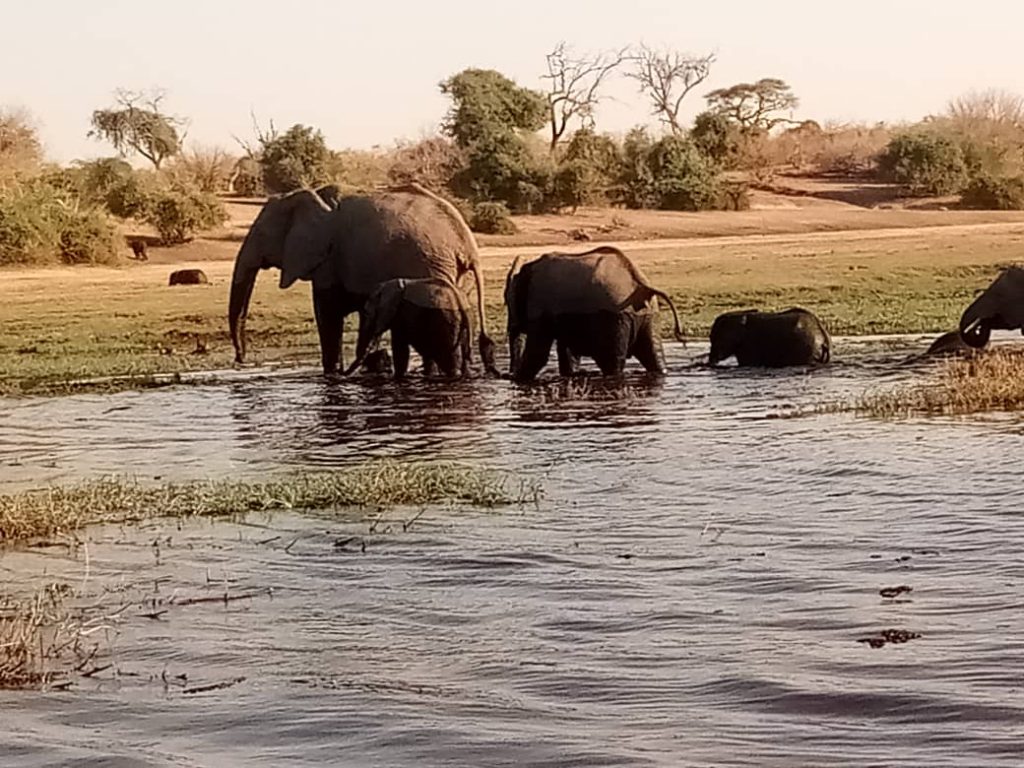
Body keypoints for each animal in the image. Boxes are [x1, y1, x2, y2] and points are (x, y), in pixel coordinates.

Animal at [343, 277, 474, 379]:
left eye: (367, 313)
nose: (342, 373)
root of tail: (459, 301)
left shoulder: (400, 315)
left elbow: (400, 349)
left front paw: (398, 377)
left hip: (446, 321)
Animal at [504, 246, 686, 382]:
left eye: (506, 300)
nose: (508, 374)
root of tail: (641, 286)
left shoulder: (539, 302)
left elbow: (538, 353)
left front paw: (519, 380)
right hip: (648, 315)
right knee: (653, 356)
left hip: (615, 317)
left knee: (611, 362)